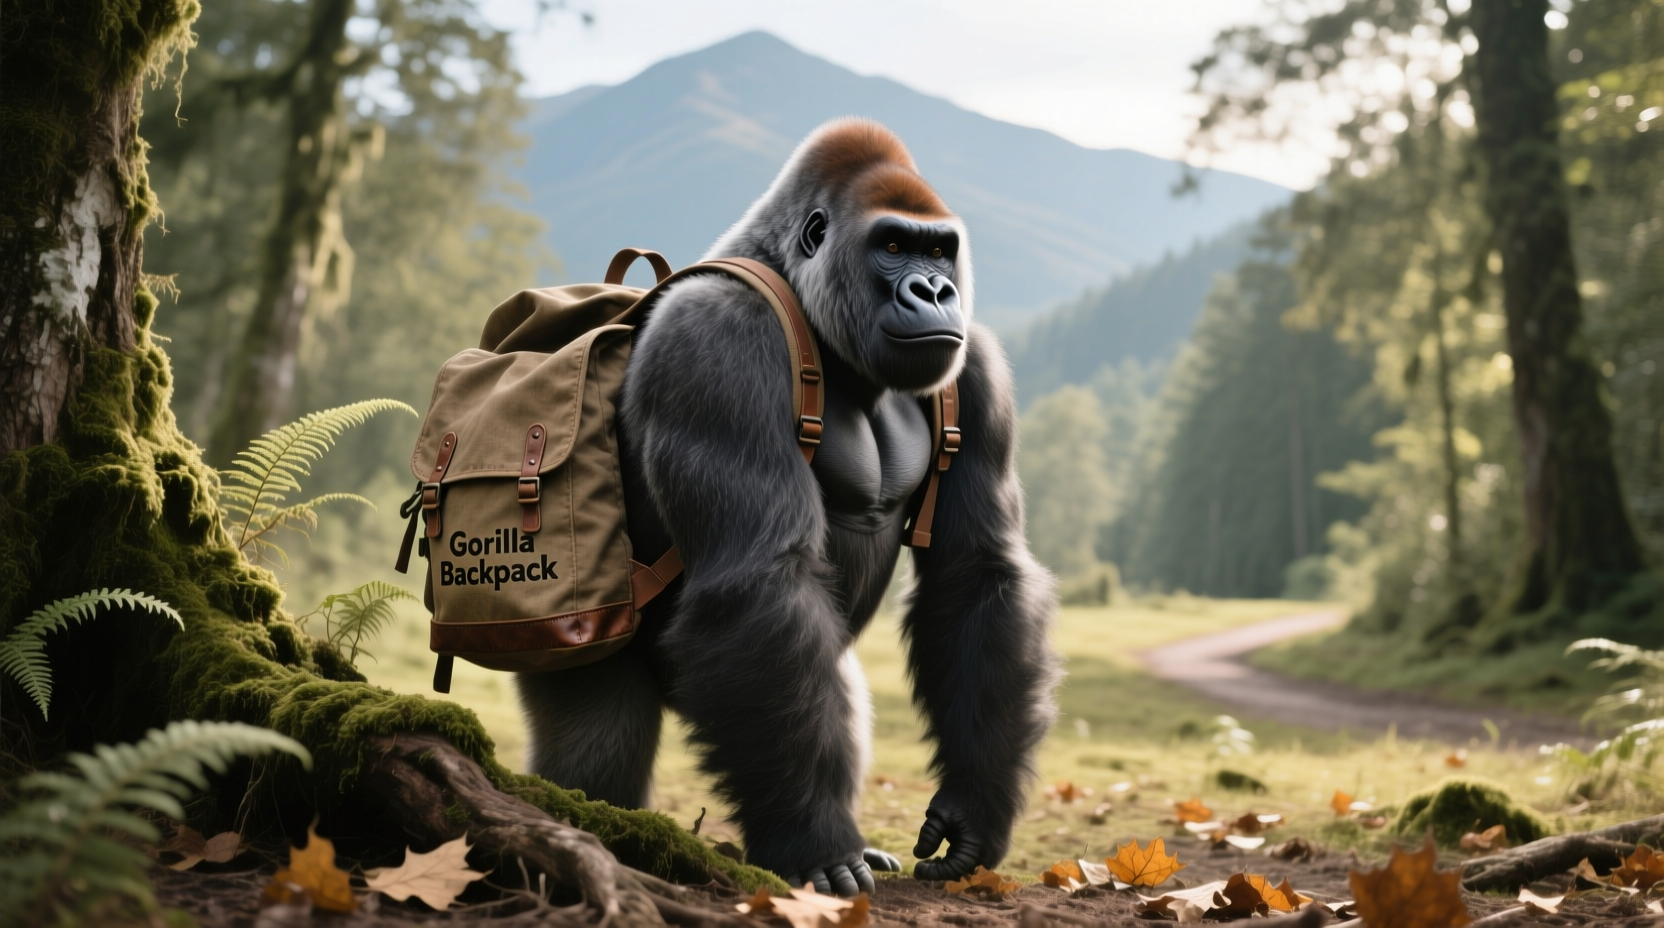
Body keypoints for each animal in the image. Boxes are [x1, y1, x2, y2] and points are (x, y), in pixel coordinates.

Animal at [514, 119, 1059, 896]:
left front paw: (974, 810)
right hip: (565, 633)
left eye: (936, 249)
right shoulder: (717, 340)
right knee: (597, 749)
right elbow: (760, 580)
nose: (935, 289)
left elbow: (975, 574)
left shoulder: (976, 367)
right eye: (893, 245)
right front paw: (816, 841)